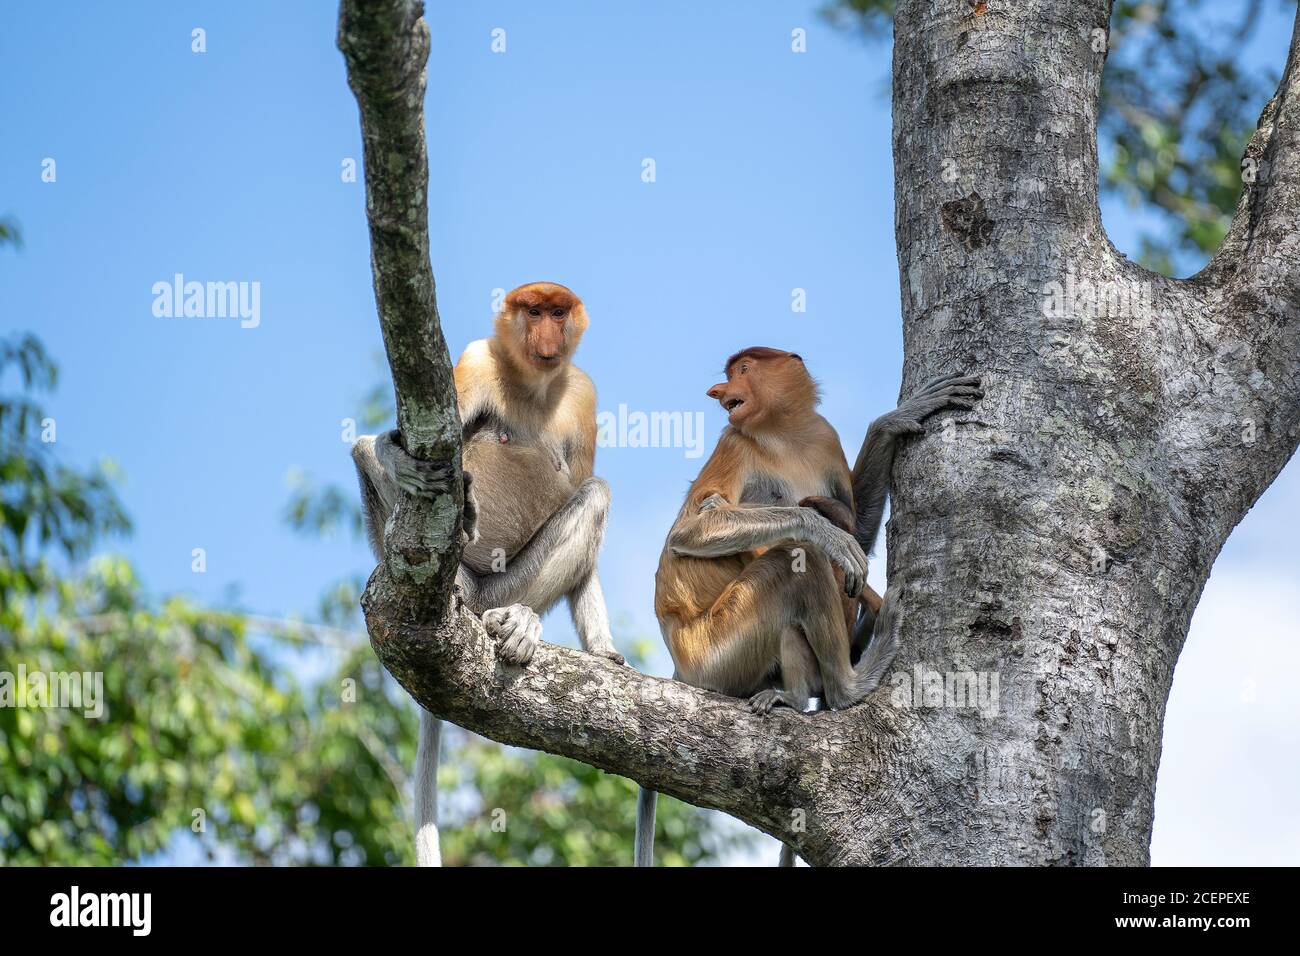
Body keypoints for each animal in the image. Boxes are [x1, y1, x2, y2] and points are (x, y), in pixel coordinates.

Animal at [352, 281, 624, 867]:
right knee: (364, 455)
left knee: (594, 493)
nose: (546, 336)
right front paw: (396, 455)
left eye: (558, 312)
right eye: (533, 311)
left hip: (508, 583)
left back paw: (516, 620)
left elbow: (582, 482)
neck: (533, 384)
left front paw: (605, 652)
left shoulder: (582, 394)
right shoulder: (479, 360)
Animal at [633, 347, 981, 866]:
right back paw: (846, 684)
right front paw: (822, 531)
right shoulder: (733, 444)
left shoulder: (823, 435)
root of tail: (683, 660)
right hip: (719, 650)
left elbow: (858, 528)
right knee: (792, 561)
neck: (784, 435)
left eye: (742, 369)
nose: (718, 392)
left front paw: (893, 421)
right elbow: (691, 532)